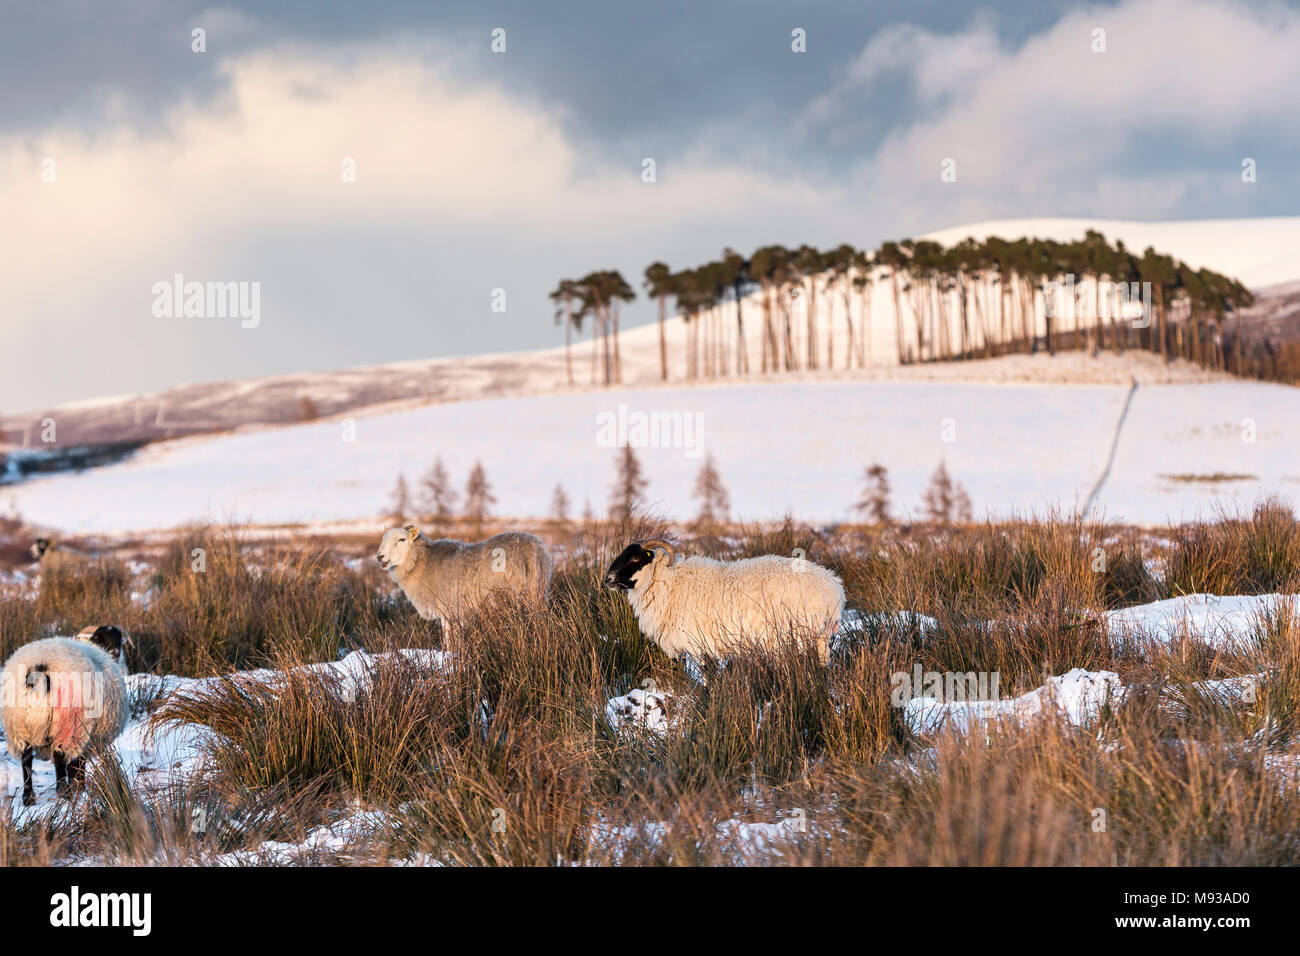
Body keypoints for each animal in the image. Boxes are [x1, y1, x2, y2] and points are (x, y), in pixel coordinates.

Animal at [2, 627, 129, 806]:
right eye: (104, 638)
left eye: (118, 638)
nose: (117, 652)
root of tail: (39, 669)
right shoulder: (84, 737)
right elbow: (77, 765)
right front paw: (80, 789)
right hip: (68, 725)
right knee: (59, 759)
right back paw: (64, 794)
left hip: (18, 727)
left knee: (26, 759)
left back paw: (29, 798)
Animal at [376, 525, 552, 628]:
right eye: (383, 539)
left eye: (401, 539)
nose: (379, 557)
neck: (420, 561)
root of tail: (531, 546)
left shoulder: (447, 610)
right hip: (536, 592)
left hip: (511, 595)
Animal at [603, 539, 845, 663]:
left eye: (636, 558)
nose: (607, 579)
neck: (668, 580)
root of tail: (835, 588)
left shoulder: (696, 644)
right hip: (820, 640)